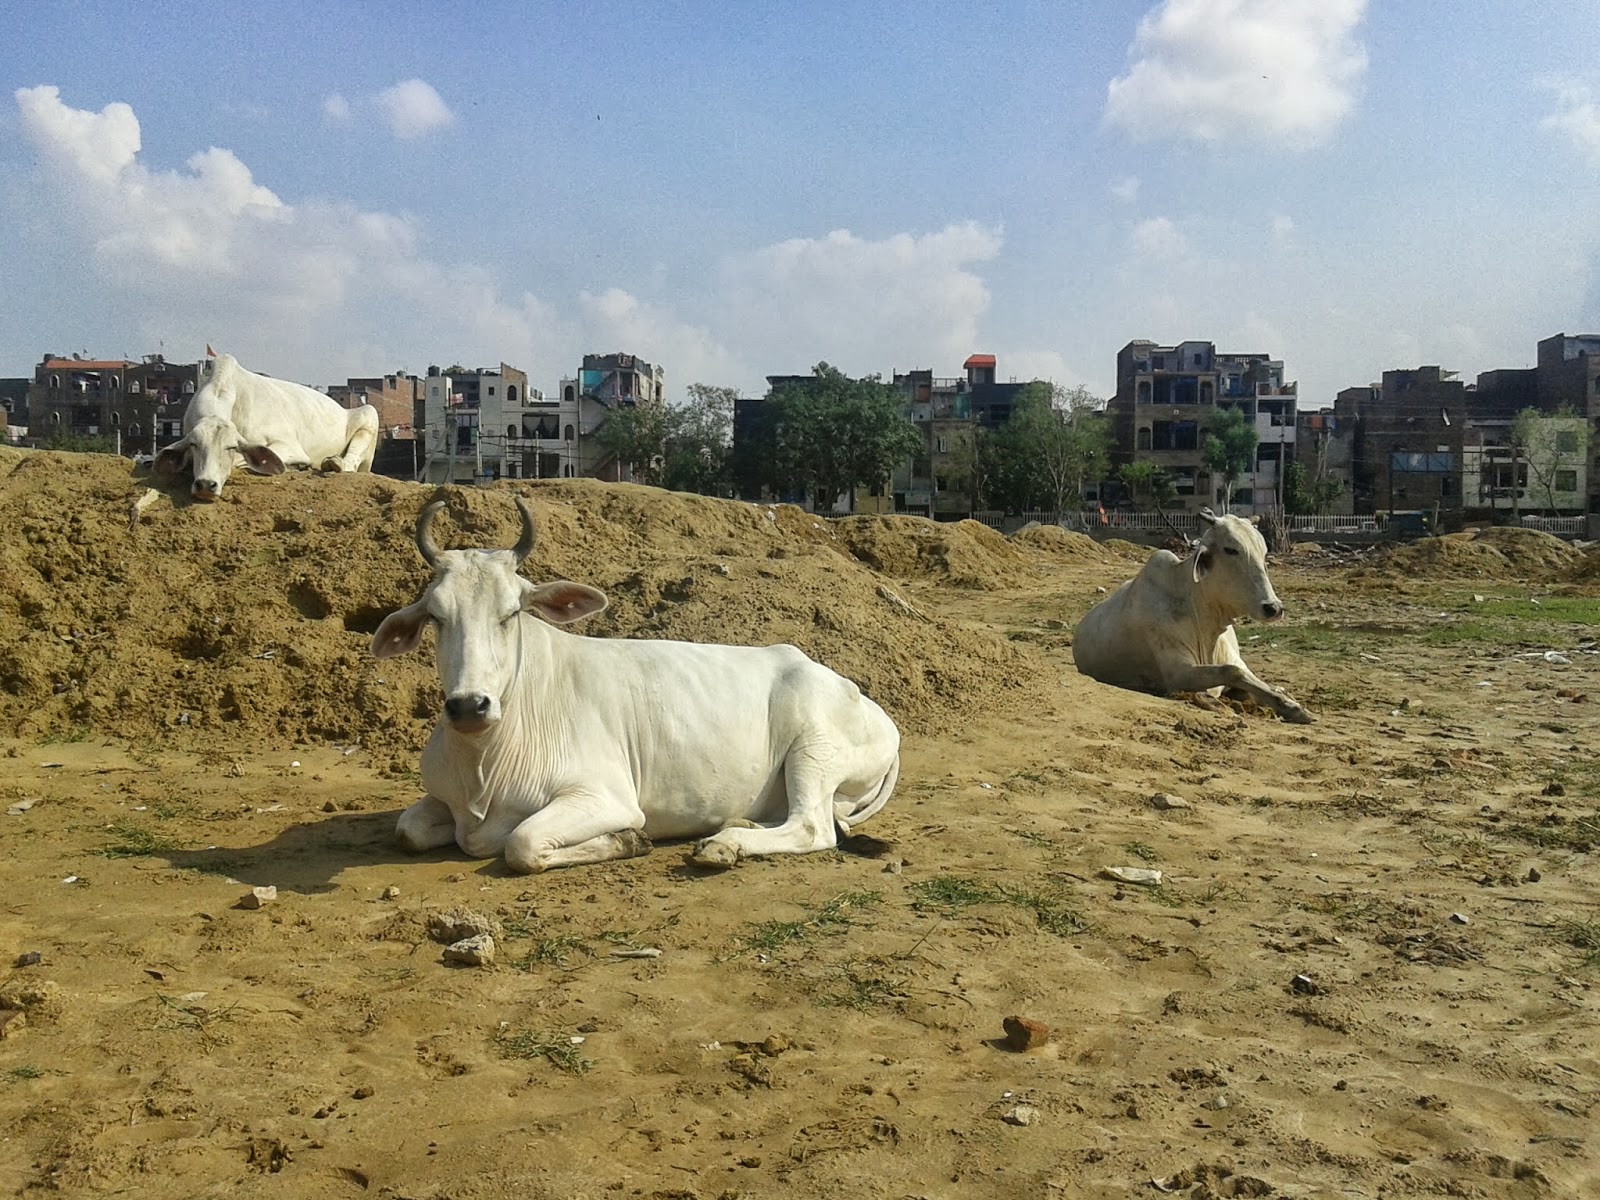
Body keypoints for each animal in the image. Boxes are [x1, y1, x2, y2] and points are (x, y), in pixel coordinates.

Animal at [154, 353, 379, 502]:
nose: (206, 485)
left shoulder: (289, 445)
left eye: (231, 447)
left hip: (370, 414)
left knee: (353, 461)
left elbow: (244, 459)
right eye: (194, 445)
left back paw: (336, 463)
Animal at [370, 496, 902, 873]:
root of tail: (872, 707)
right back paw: (737, 822)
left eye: (511, 613)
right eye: (436, 617)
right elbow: (407, 829)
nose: (469, 707)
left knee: (811, 827)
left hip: (813, 752)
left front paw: (628, 840)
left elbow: (522, 844)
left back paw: (724, 844)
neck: (484, 761)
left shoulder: (605, 796)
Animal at [1071, 509, 1313, 723]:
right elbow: (1233, 672)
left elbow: (1252, 679)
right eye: (1230, 549)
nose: (1274, 608)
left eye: (1263, 552)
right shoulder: (1178, 674)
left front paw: (1289, 702)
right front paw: (1293, 708)